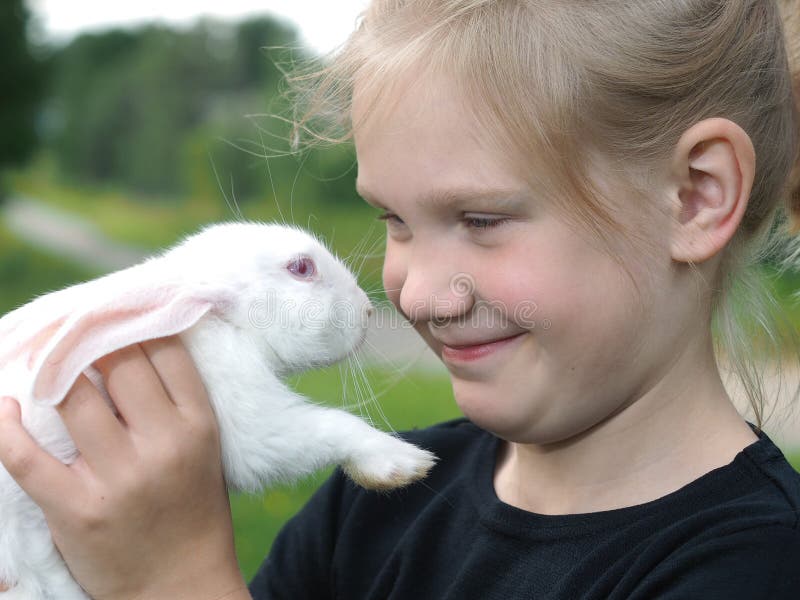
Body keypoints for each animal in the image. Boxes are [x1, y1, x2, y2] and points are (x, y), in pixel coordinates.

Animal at [0, 221, 437, 600]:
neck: (210, 314)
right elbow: (319, 429)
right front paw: (406, 462)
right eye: (301, 267)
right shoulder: (245, 411)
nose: (366, 311)